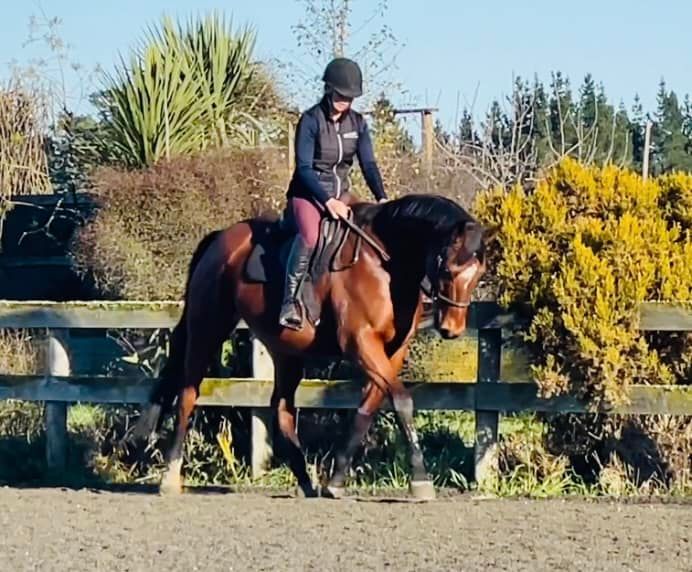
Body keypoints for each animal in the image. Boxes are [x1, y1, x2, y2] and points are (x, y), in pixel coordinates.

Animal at [133, 192, 493, 500]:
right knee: (187, 394)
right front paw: (420, 480)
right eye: (447, 268)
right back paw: (170, 478)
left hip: (285, 349)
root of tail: (220, 237)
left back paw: (306, 481)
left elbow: (368, 408)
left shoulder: (392, 352)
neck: (387, 265)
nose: (451, 329)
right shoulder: (361, 343)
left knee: (281, 407)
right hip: (208, 328)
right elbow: (402, 401)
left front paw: (335, 481)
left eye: (478, 274)